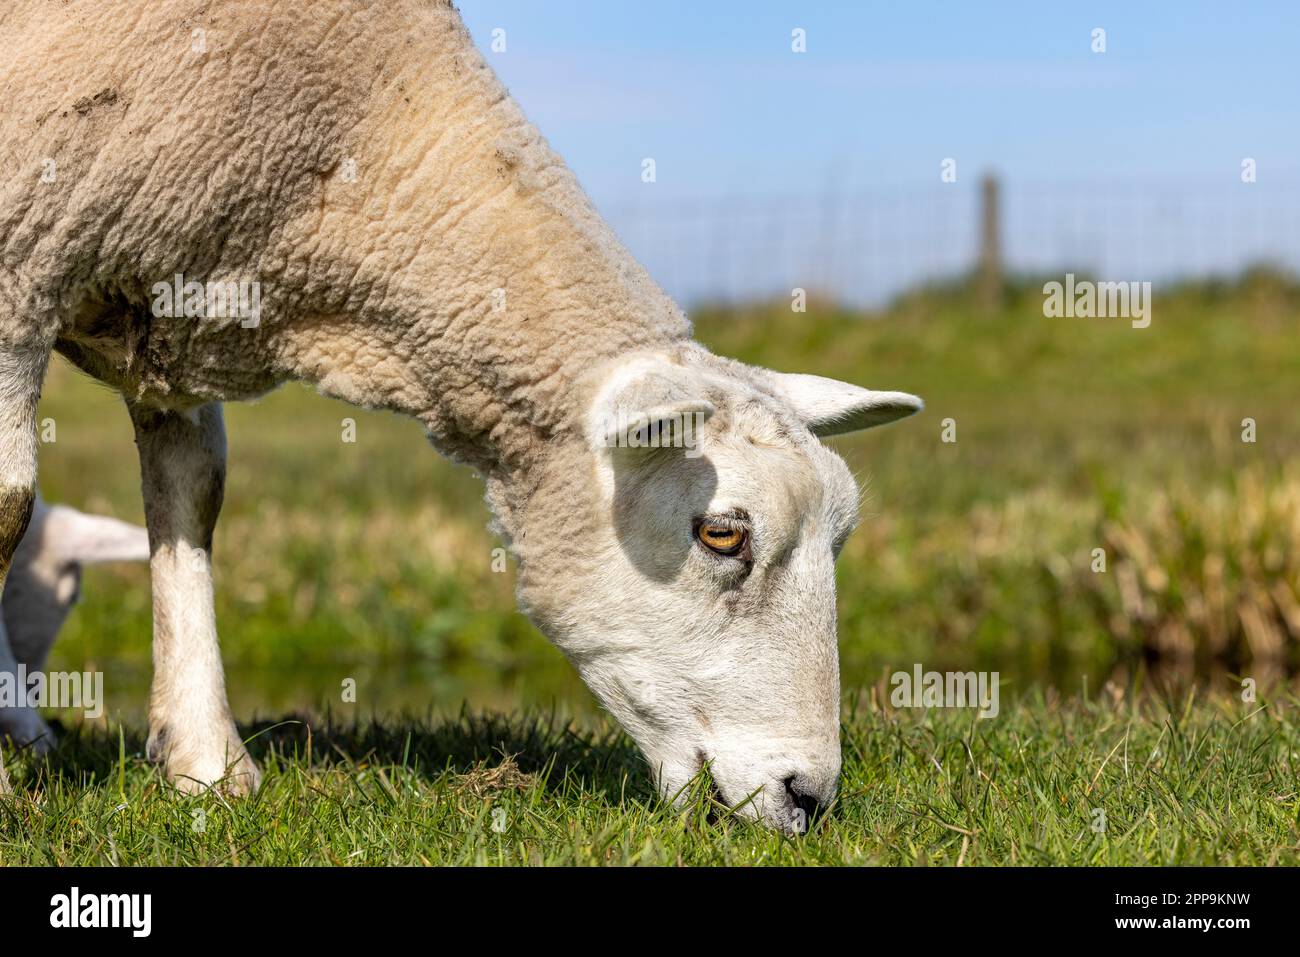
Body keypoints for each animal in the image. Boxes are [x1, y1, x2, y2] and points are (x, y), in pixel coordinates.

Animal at [0, 0, 922, 831]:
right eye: (721, 533)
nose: (809, 797)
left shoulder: (175, 295)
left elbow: (192, 500)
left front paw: (208, 762)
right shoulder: (22, 259)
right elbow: (11, 502)